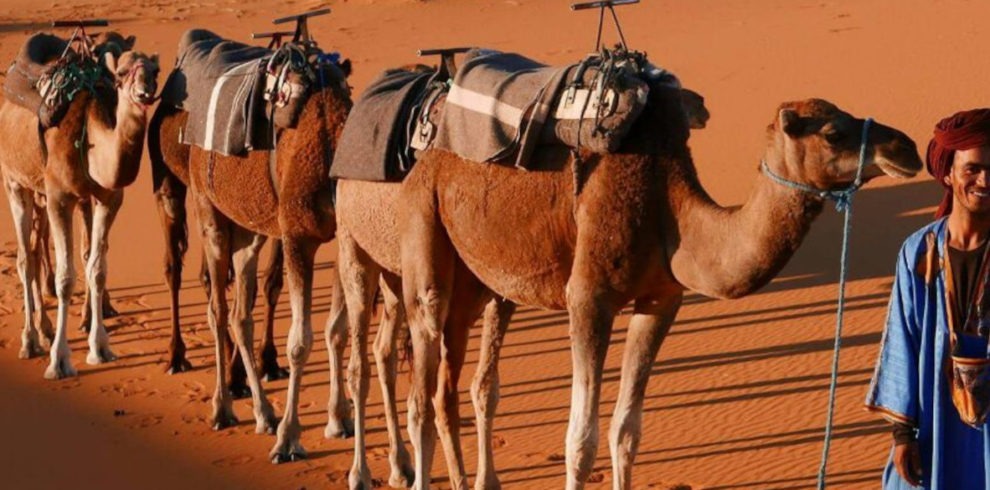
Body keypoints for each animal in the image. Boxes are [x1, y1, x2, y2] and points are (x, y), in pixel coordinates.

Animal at [0, 33, 159, 379]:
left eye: (155, 70)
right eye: (121, 72)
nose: (144, 91)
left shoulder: (108, 199)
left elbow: (96, 268)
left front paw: (100, 347)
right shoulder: (59, 197)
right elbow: (65, 278)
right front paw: (59, 360)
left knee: (35, 251)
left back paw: (43, 331)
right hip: (14, 182)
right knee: (25, 258)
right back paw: (31, 340)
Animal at [150, 43, 353, 460]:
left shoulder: (341, 240)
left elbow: (337, 330)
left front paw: (339, 420)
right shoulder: (297, 236)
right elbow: (300, 341)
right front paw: (289, 439)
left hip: (248, 228)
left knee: (241, 314)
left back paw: (263, 413)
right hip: (206, 204)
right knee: (217, 309)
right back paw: (223, 408)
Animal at [331, 64, 712, 489]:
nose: (701, 104)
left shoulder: (499, 288)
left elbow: (485, 388)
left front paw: (486, 480)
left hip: (397, 274)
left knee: (389, 352)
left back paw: (401, 466)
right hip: (353, 243)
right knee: (361, 361)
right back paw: (360, 472)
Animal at [397, 93, 923, 489]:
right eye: (833, 132)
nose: (908, 147)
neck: (667, 212)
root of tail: (428, 156)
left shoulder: (660, 301)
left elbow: (626, 431)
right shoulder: (588, 298)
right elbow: (580, 440)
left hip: (481, 283)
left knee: (450, 387)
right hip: (424, 229)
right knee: (420, 389)